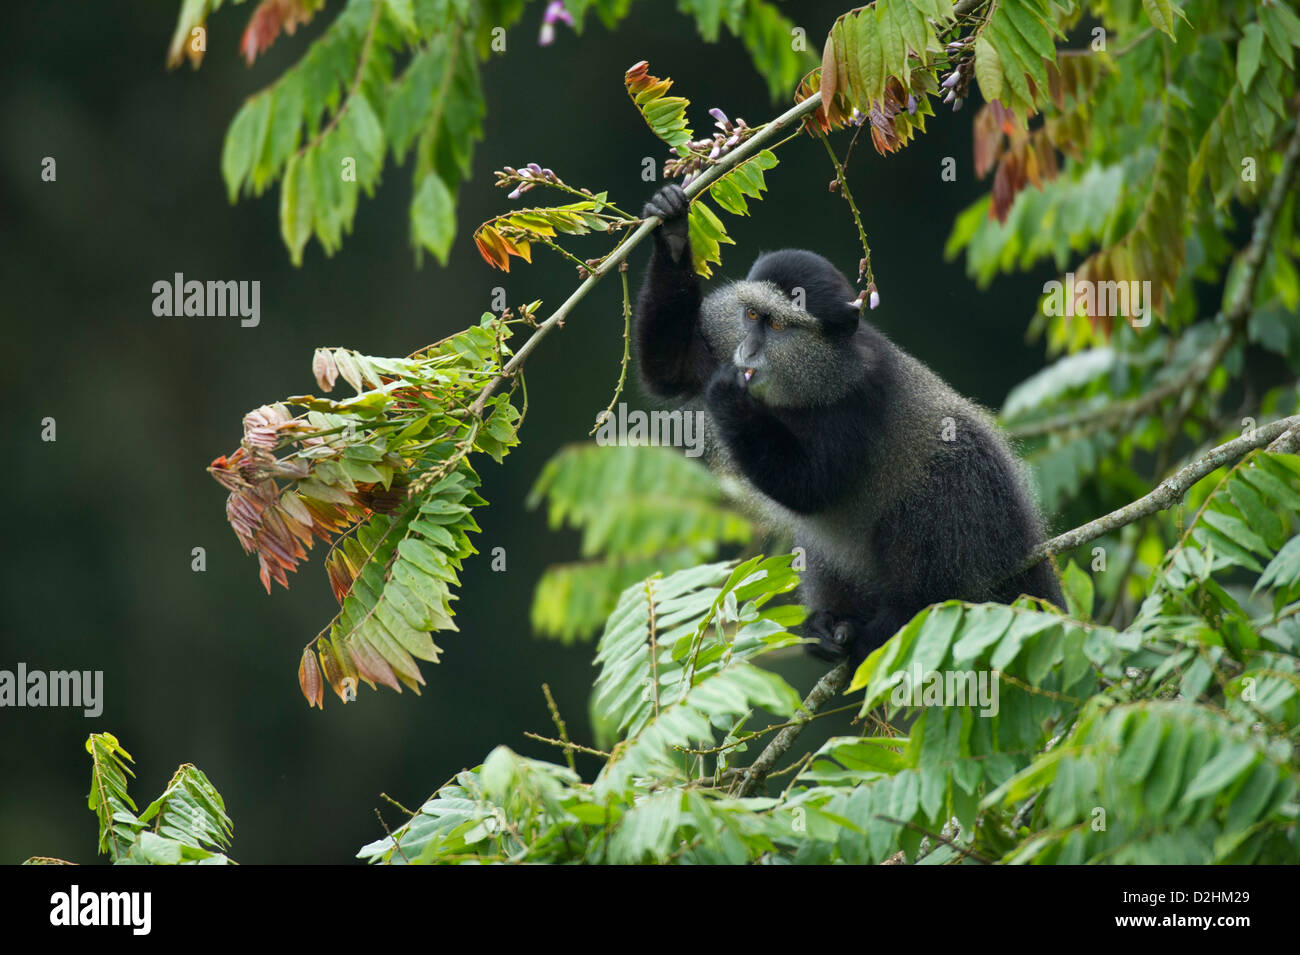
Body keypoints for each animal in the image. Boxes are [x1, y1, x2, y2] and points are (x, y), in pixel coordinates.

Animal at [633, 183, 1063, 666]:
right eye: (751, 316)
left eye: (778, 325)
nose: (747, 352)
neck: (803, 382)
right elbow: (670, 368)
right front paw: (672, 228)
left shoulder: (862, 394)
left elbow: (814, 486)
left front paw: (730, 393)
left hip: (970, 499)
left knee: (924, 519)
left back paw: (887, 627)